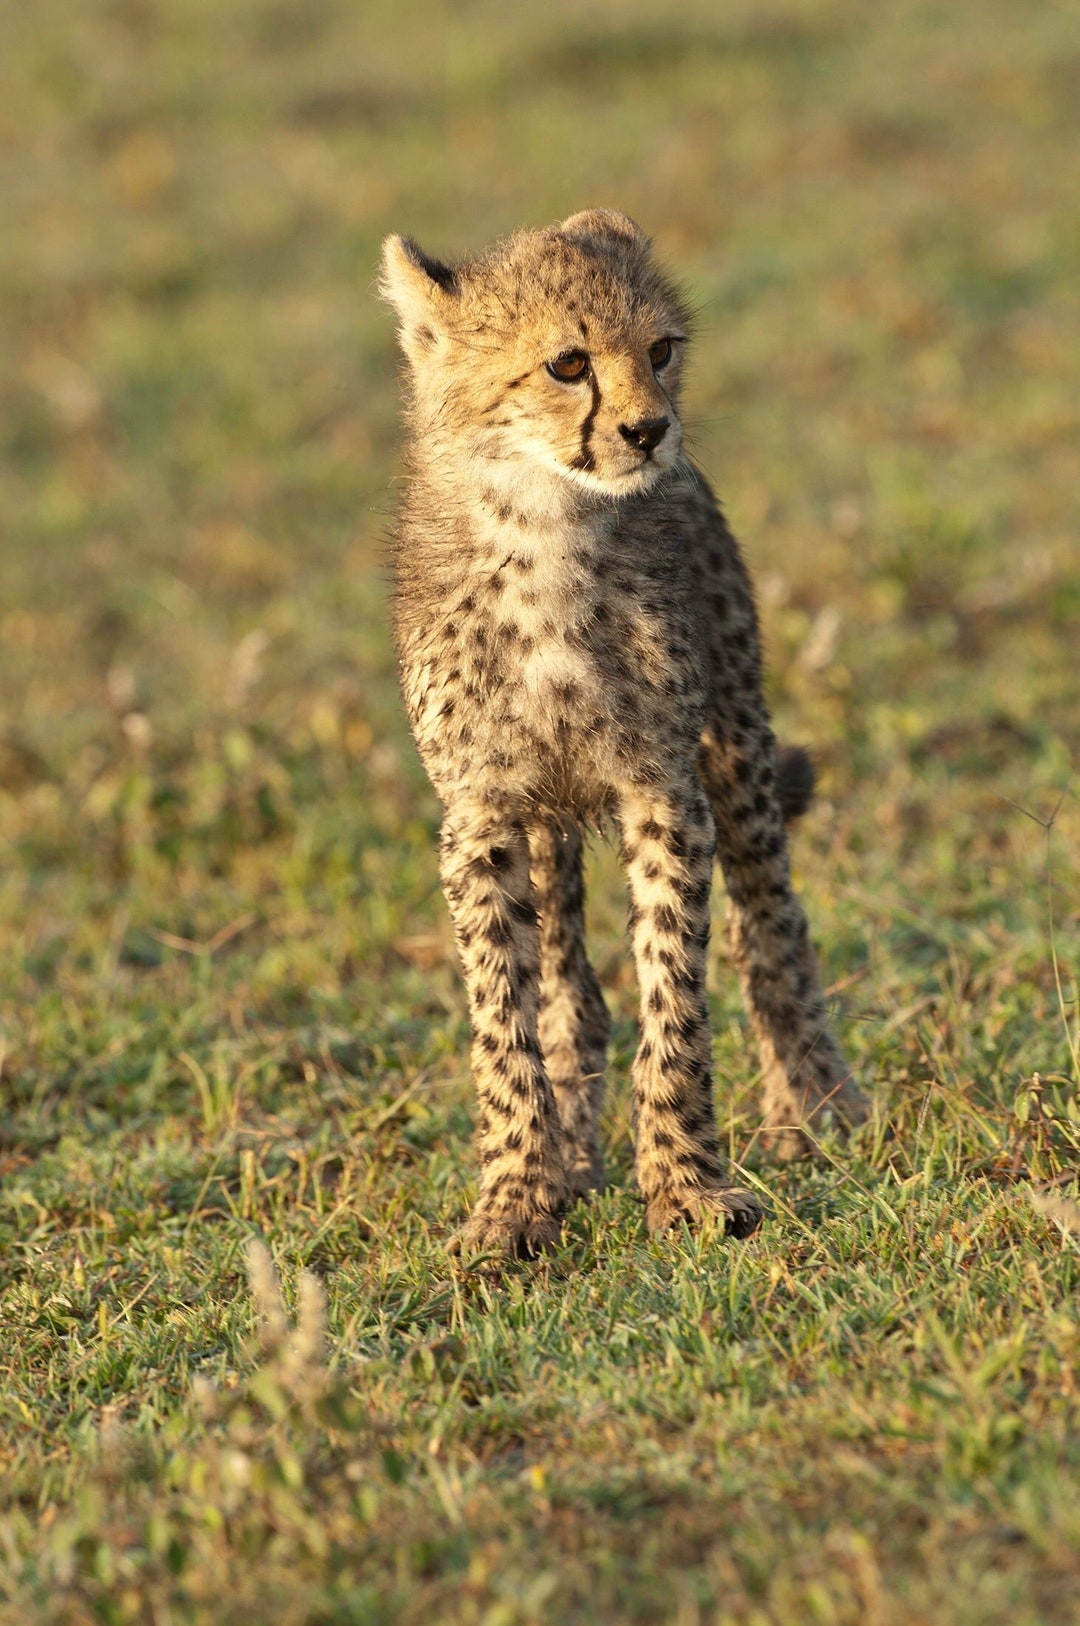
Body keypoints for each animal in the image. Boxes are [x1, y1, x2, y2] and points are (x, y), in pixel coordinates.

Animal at [379, 208, 869, 1260]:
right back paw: (572, 1157)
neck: (543, 527)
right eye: (568, 364)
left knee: (772, 928)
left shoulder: (663, 788)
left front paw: (686, 1187)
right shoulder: (482, 814)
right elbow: (506, 1020)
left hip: (738, 746)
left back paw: (816, 1106)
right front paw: (517, 1197)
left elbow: (675, 1000)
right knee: (572, 989)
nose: (650, 429)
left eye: (661, 350)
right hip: (548, 822)